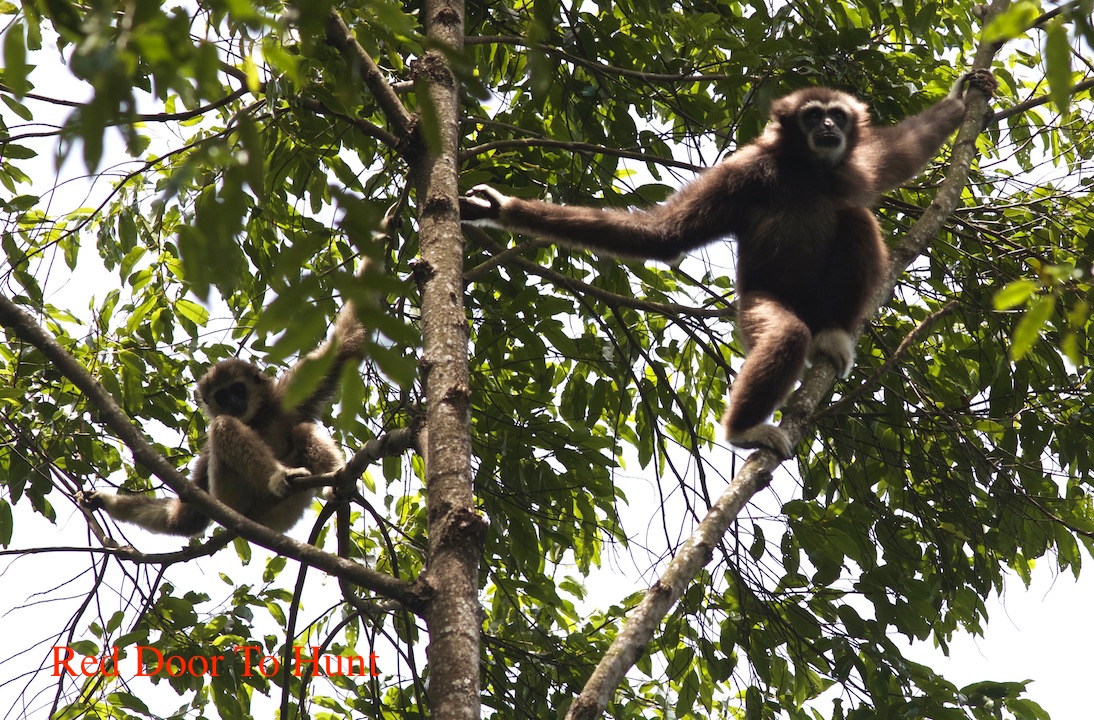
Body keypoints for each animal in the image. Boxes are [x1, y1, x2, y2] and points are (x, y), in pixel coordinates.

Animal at [78, 273, 369, 536]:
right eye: (221, 396)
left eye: (238, 389)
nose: (233, 402)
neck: (255, 418)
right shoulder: (209, 454)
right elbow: (185, 518)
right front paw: (105, 500)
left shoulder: (287, 394)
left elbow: (345, 344)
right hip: (236, 501)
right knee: (223, 426)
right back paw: (278, 477)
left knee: (302, 429)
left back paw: (335, 484)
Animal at [461, 70, 996, 459]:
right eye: (813, 117)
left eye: (838, 118)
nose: (827, 130)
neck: (802, 170)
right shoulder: (740, 173)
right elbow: (665, 236)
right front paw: (501, 210)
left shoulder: (852, 169)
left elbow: (900, 154)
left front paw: (959, 101)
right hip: (756, 304)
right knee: (788, 332)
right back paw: (745, 430)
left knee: (854, 219)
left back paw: (833, 333)